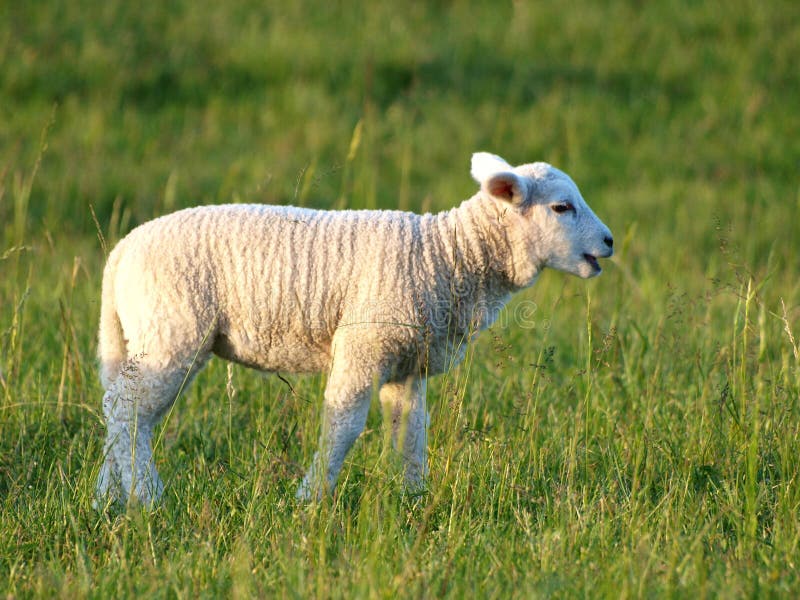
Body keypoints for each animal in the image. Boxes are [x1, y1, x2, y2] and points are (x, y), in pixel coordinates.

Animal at [95, 152, 613, 507]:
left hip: (142, 334)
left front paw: (413, 498)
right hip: (173, 328)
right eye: (562, 208)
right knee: (128, 410)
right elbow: (342, 425)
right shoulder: (364, 343)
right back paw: (147, 497)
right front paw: (310, 499)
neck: (448, 255)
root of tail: (122, 251)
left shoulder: (407, 361)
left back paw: (107, 496)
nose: (609, 241)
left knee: (120, 407)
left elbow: (411, 432)